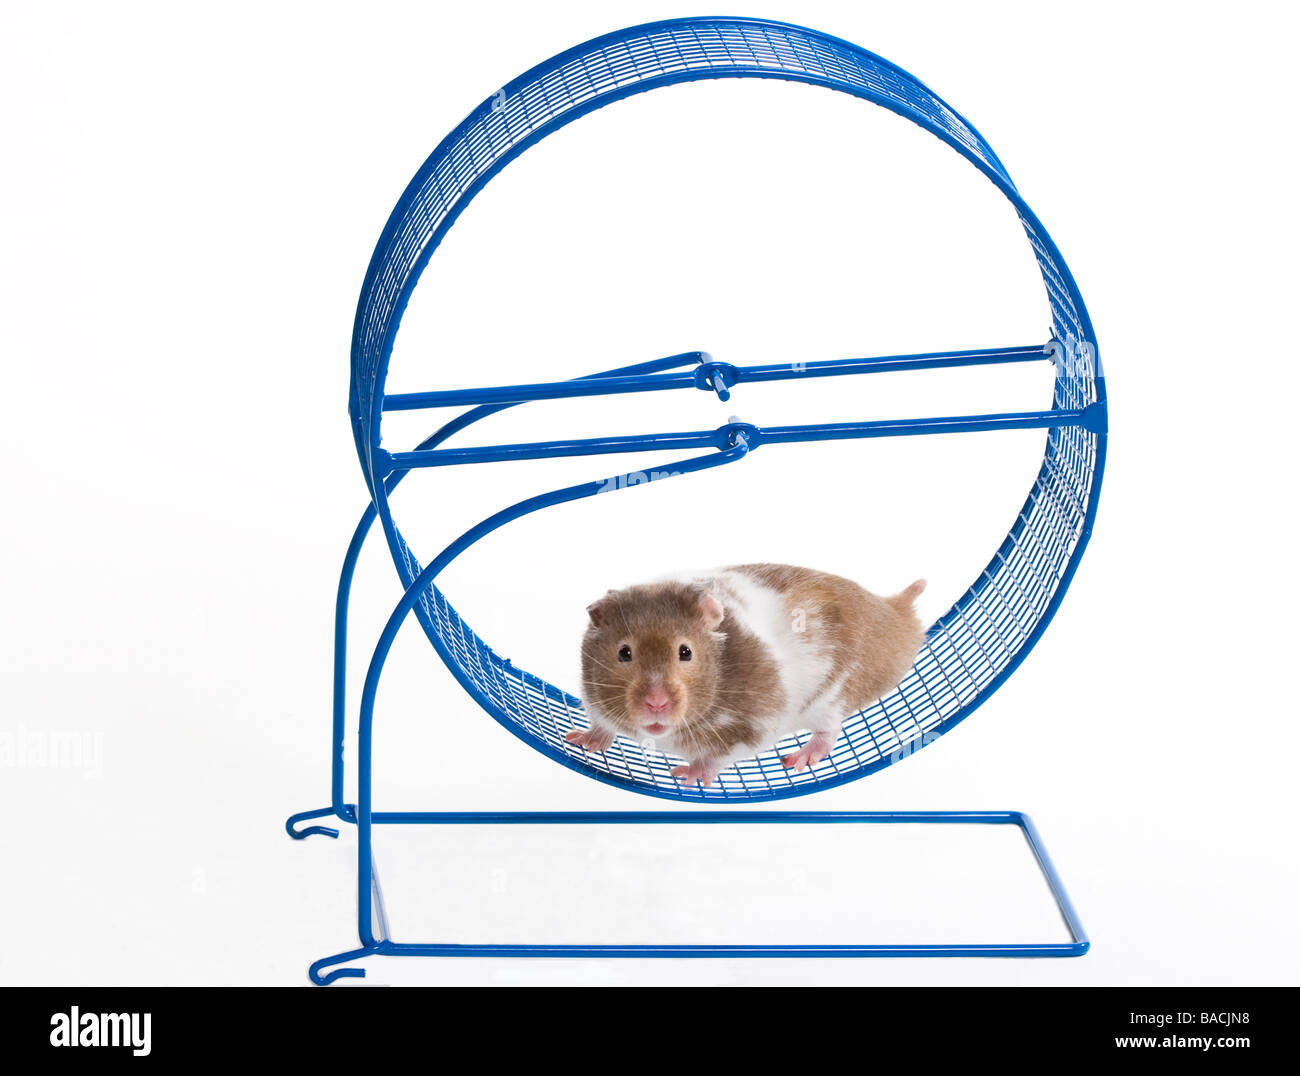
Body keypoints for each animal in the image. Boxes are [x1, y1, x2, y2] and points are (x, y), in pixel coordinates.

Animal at [570, 564, 927, 786]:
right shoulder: (594, 699)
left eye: (685, 652)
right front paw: (578, 740)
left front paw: (686, 775)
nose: (656, 705)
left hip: (833, 694)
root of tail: (897, 614)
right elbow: (600, 725)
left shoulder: (752, 727)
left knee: (830, 732)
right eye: (624, 653)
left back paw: (797, 759)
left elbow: (716, 757)